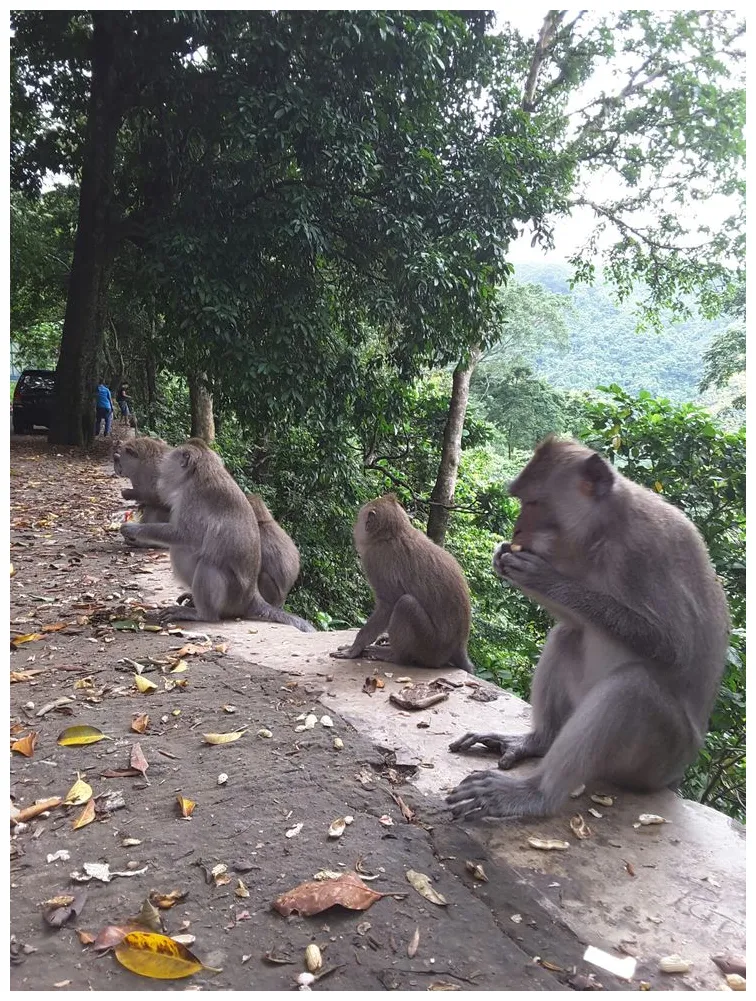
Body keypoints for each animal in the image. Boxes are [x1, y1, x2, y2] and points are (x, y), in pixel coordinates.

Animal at [119, 439, 315, 632]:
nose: (162, 465)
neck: (203, 470)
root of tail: (251, 597)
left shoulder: (192, 497)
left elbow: (185, 535)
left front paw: (134, 530)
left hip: (232, 597)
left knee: (203, 562)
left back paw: (202, 615)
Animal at [330, 494, 476, 672]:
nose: (355, 526)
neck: (393, 534)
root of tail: (459, 647)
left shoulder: (375, 560)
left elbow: (388, 604)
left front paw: (354, 648)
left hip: (430, 648)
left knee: (405, 604)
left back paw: (394, 656)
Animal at [447, 435, 730, 821]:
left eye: (533, 502)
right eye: (520, 501)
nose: (517, 530)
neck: (604, 534)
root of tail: (675, 776)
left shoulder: (647, 549)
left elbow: (673, 648)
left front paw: (544, 578)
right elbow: (574, 622)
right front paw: (502, 557)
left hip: (656, 760)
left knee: (632, 688)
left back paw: (535, 794)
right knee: (567, 635)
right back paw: (538, 741)